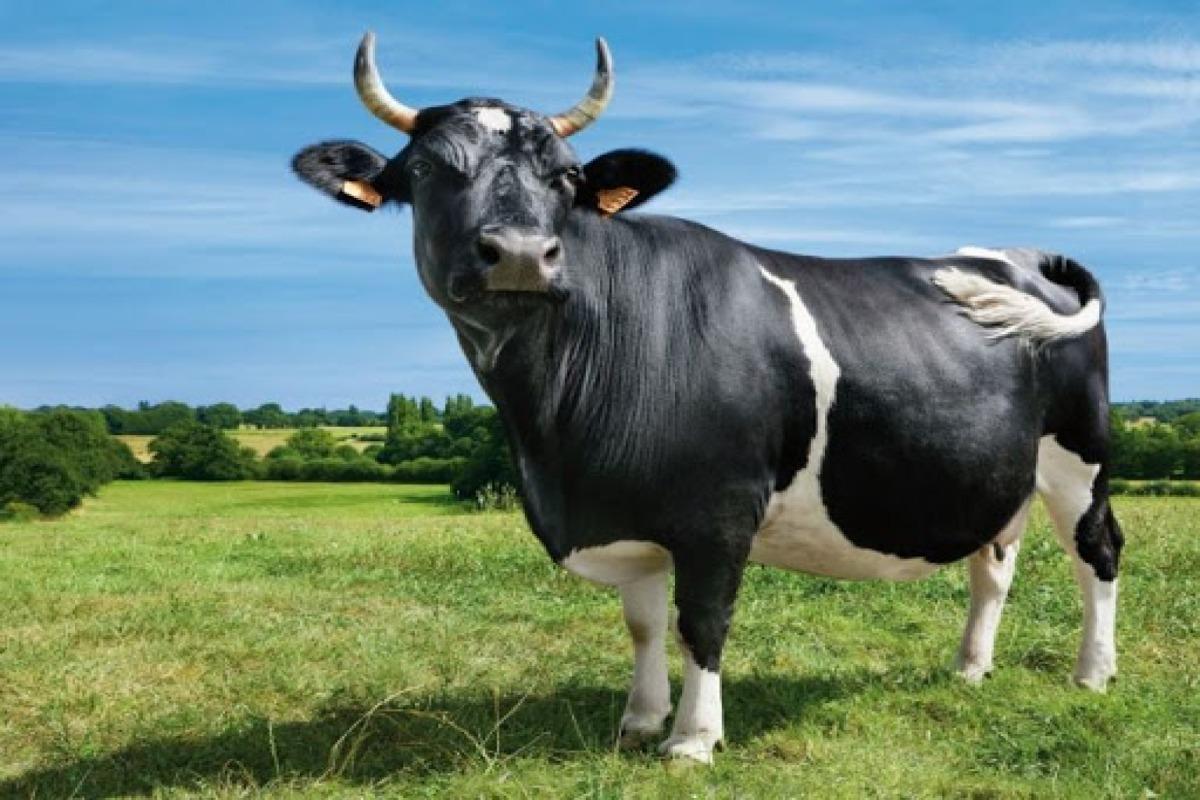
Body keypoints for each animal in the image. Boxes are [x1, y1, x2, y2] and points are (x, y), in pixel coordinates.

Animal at [293, 34, 1123, 764]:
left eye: (565, 178)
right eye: (429, 170)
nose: (523, 255)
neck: (556, 444)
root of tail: (1017, 254)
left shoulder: (717, 511)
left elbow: (704, 622)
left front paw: (692, 739)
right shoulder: (632, 514)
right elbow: (643, 623)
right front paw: (638, 721)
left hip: (1079, 454)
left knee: (1098, 550)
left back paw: (1093, 673)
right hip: (1001, 471)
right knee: (994, 563)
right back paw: (970, 668)